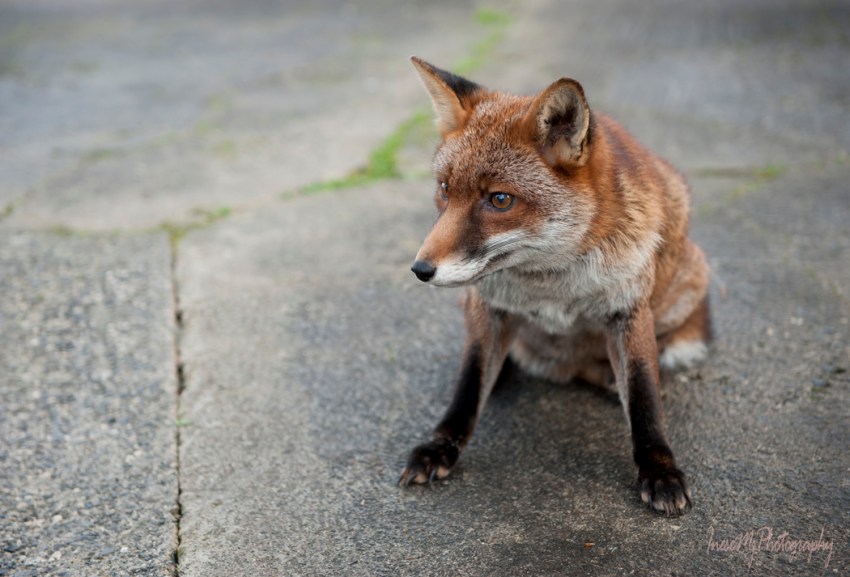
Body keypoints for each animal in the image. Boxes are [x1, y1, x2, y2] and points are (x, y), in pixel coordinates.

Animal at [397, 57, 711, 516]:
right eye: (444, 190)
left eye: (500, 200)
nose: (421, 269)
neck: (551, 287)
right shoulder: (488, 306)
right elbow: (468, 387)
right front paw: (440, 447)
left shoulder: (629, 310)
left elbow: (643, 396)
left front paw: (659, 469)